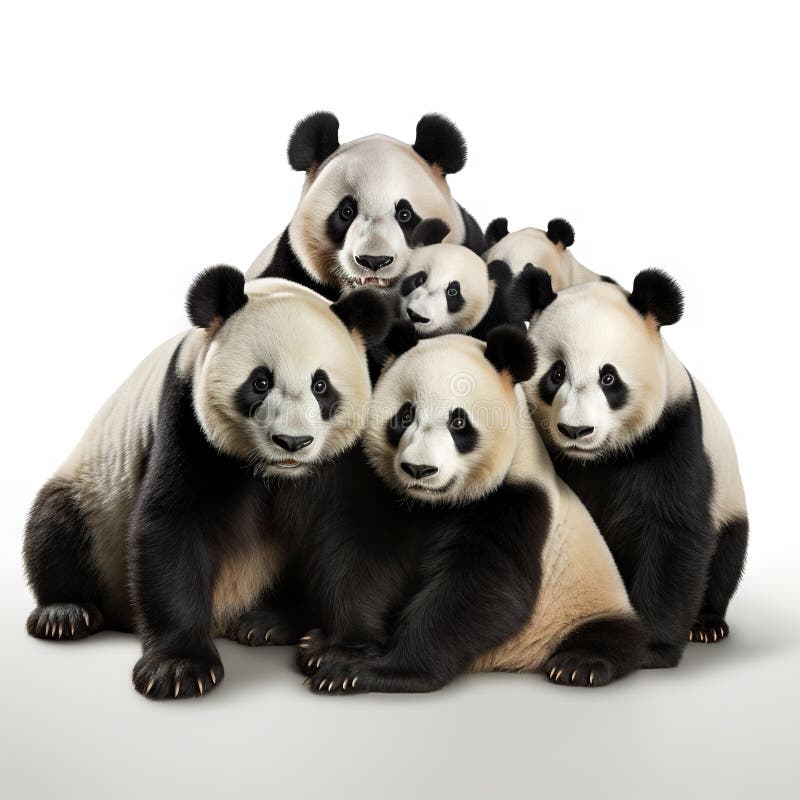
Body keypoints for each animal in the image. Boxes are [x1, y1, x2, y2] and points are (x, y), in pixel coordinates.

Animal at [23, 269, 390, 699]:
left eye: (321, 385)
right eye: (260, 382)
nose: (292, 442)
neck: (276, 473)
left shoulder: (342, 455)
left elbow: (350, 533)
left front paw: (341, 656)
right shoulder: (187, 418)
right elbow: (174, 525)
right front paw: (179, 669)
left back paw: (270, 622)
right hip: (94, 496)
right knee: (58, 527)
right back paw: (64, 613)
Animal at [271, 325, 646, 694]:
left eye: (459, 423)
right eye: (405, 415)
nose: (419, 469)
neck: (431, 503)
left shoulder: (515, 503)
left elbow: (480, 592)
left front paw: (369, 670)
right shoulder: (386, 494)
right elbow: (362, 561)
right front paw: (337, 648)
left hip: (589, 603)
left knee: (613, 636)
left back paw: (578, 665)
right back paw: (310, 641)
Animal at [514, 266, 749, 668]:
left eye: (609, 378)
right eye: (556, 374)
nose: (575, 430)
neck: (595, 458)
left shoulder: (669, 435)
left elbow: (671, 531)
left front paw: (650, 646)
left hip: (728, 500)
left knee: (725, 557)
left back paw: (706, 625)